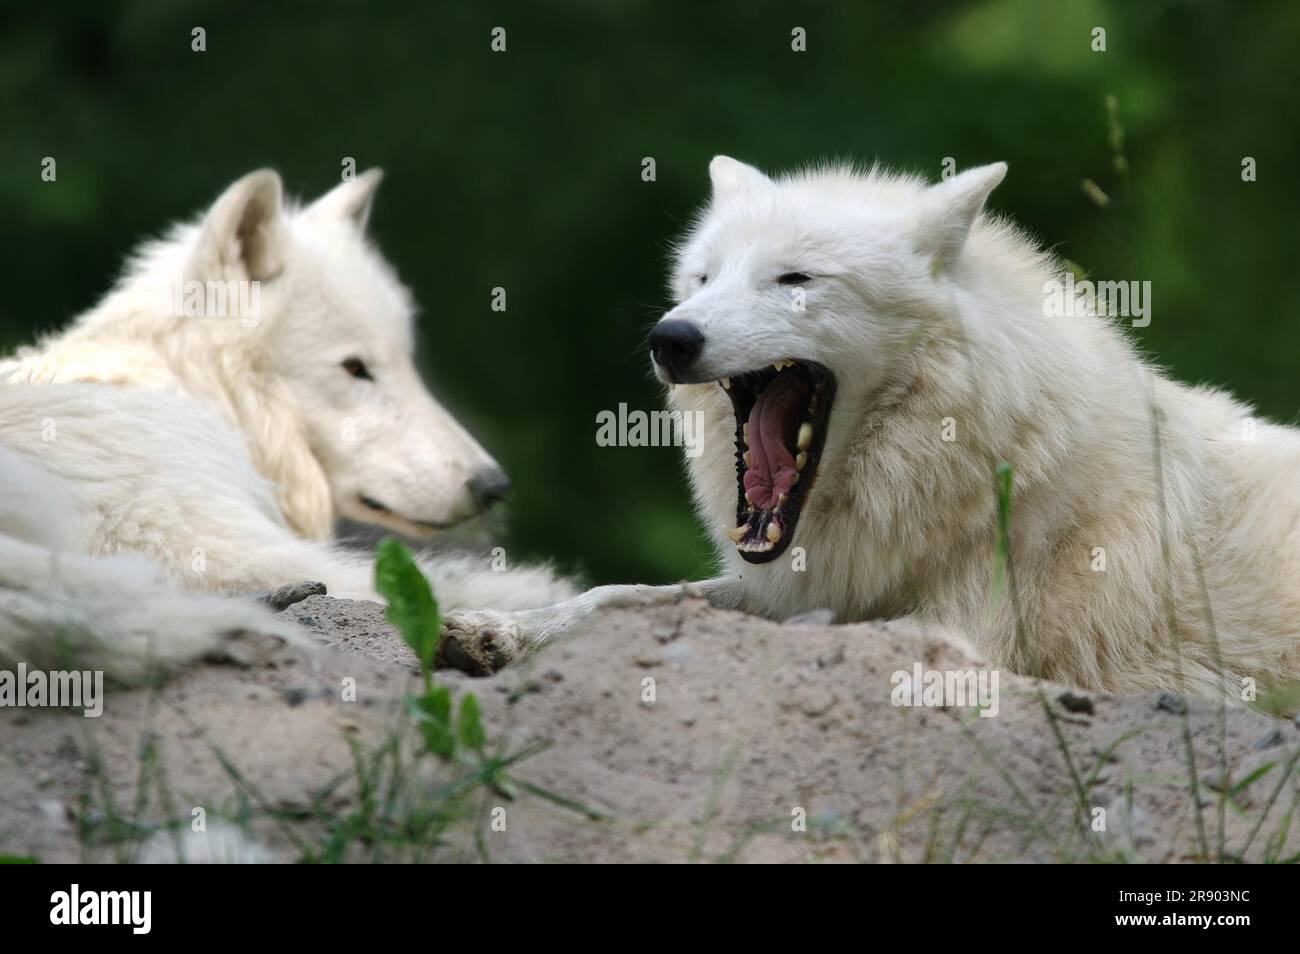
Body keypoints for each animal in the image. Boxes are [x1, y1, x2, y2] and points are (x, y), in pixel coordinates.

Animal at [438, 156, 1300, 702]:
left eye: (794, 280)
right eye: (703, 278)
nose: (670, 338)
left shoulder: (965, 637)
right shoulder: (804, 581)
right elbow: (627, 595)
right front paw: (500, 630)